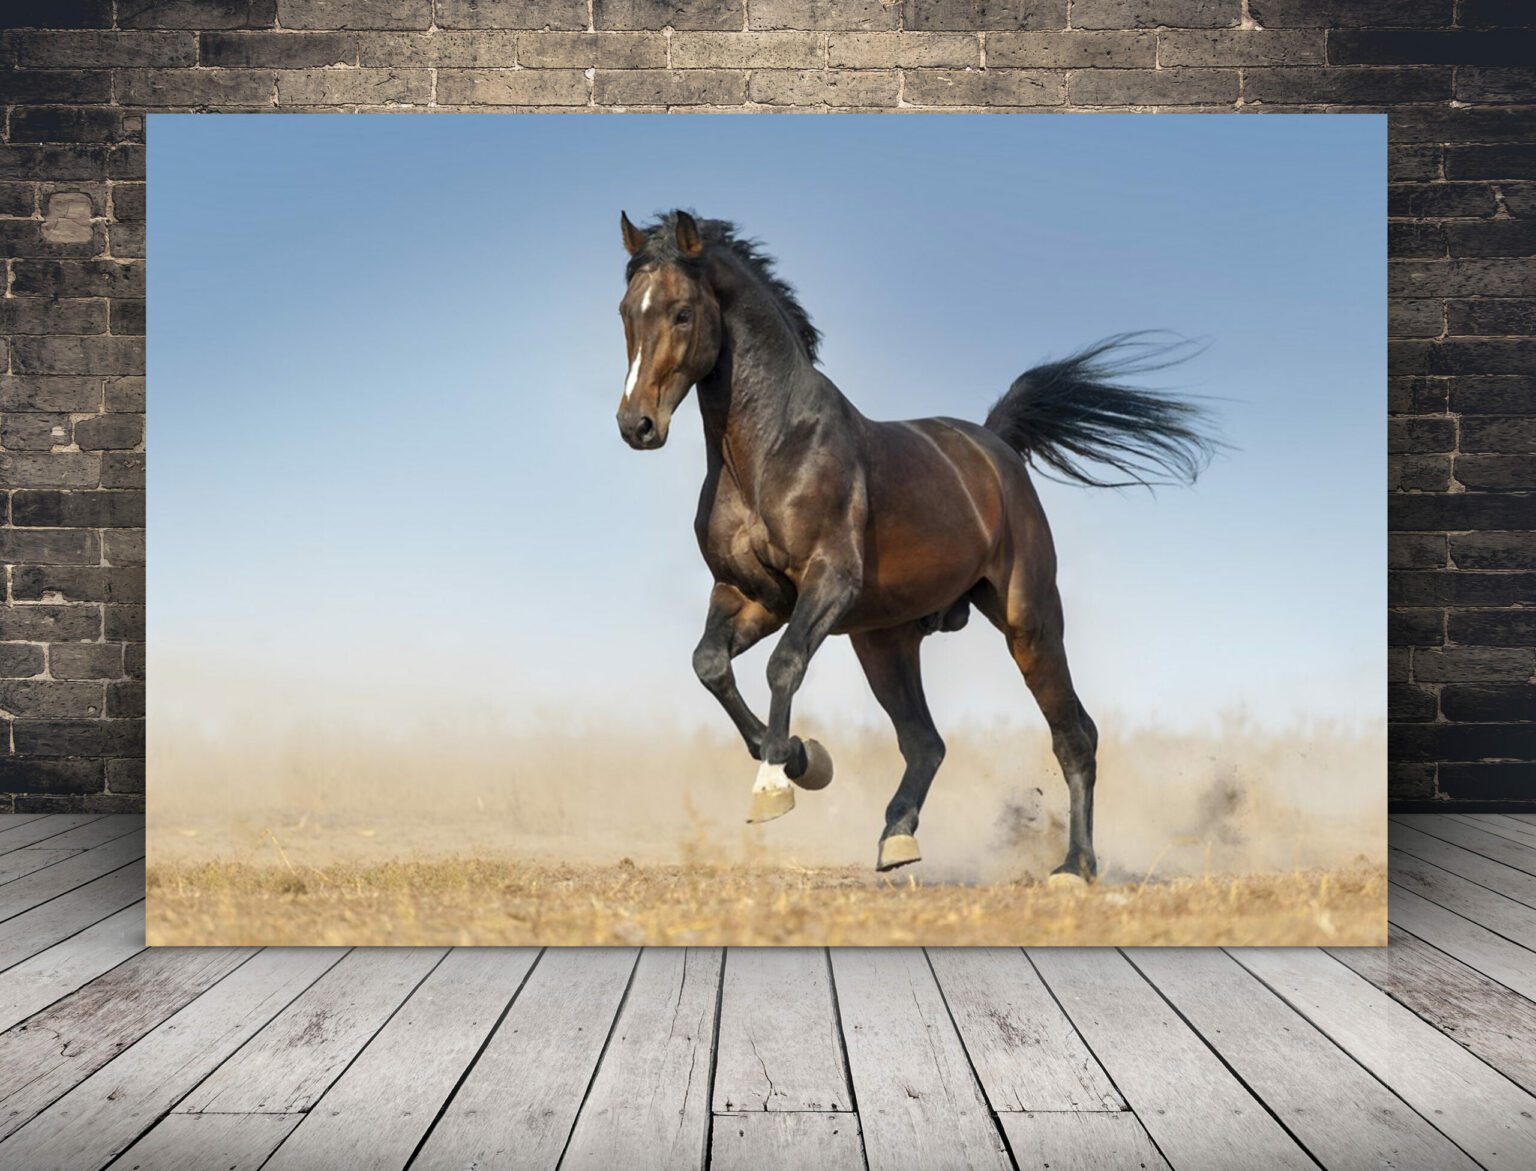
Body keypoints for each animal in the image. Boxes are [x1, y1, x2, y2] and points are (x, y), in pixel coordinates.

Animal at [613, 209, 1217, 883]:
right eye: (626, 311)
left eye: (682, 312)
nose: (636, 425)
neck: (770, 452)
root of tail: (995, 446)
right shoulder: (752, 594)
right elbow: (710, 665)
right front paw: (804, 758)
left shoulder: (827, 581)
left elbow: (783, 665)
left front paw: (775, 784)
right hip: (885, 641)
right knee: (926, 742)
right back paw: (898, 838)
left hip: (1028, 619)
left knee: (1074, 734)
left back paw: (1074, 866)